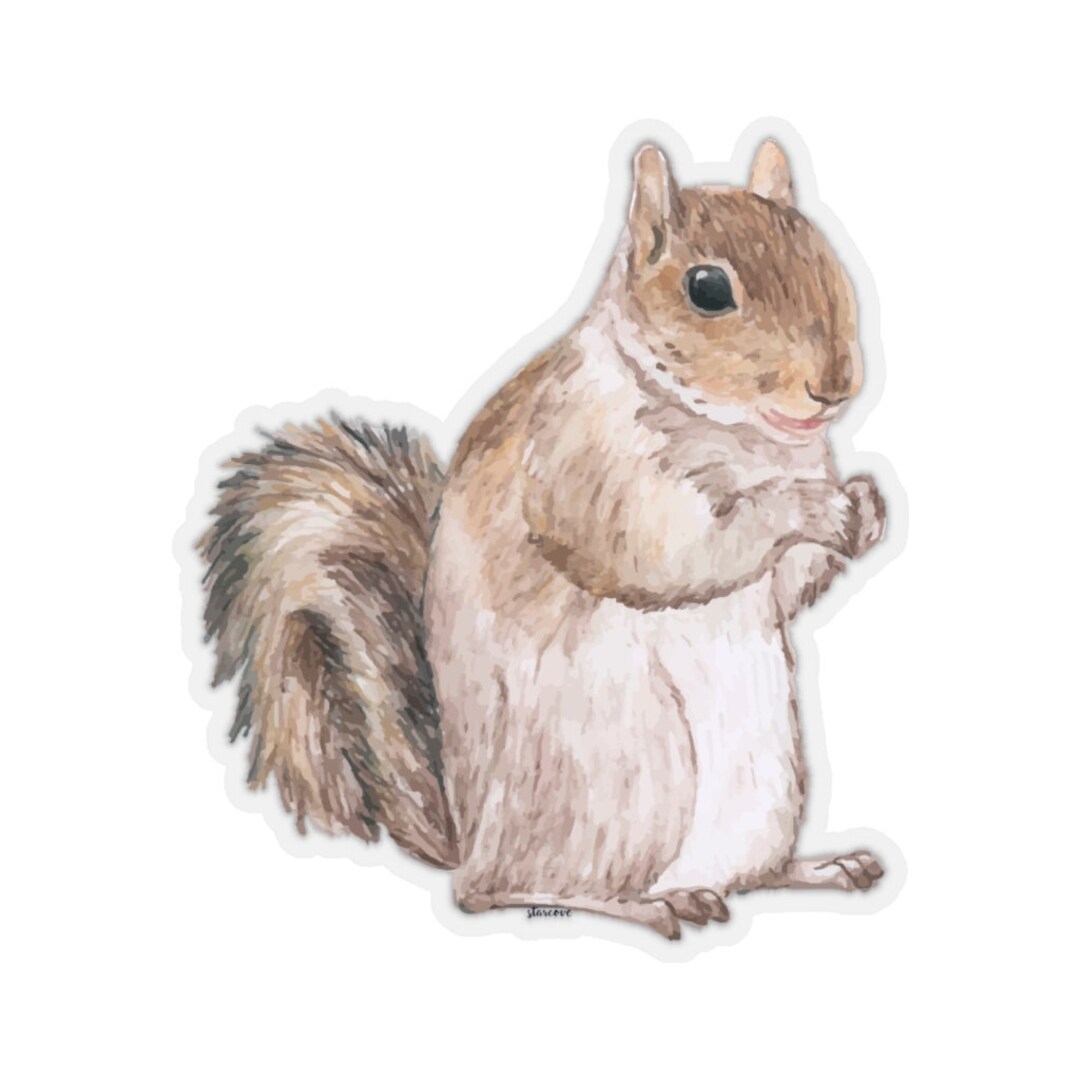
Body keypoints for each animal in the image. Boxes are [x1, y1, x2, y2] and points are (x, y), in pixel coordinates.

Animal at [200, 137, 887, 940]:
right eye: (708, 289)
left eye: (824, 254)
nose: (836, 386)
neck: (740, 436)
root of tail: (469, 835)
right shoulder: (583, 462)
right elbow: (671, 551)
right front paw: (804, 510)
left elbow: (785, 589)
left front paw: (867, 508)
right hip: (623, 777)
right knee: (503, 890)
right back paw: (649, 902)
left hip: (767, 780)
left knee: (745, 872)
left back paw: (815, 868)